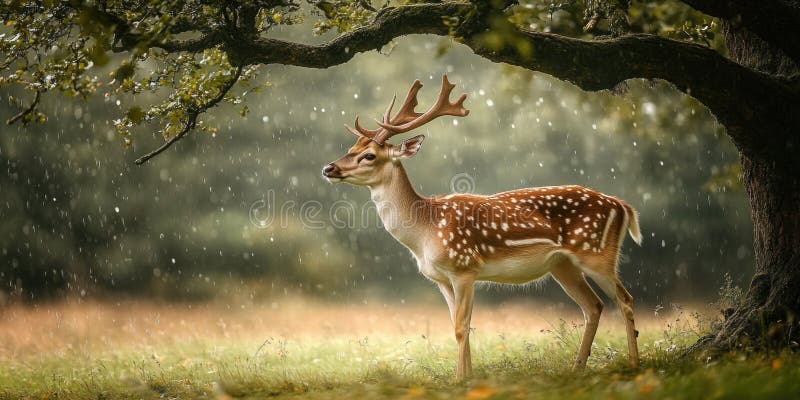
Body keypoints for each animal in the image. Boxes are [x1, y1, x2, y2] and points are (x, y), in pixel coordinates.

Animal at [322, 75, 642, 379]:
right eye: (351, 147)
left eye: (369, 155)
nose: (328, 168)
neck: (424, 232)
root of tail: (622, 206)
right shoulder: (441, 278)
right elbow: (458, 324)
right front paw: (468, 377)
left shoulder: (464, 267)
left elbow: (461, 327)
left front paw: (460, 380)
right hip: (562, 265)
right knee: (593, 306)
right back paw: (577, 368)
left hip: (596, 253)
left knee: (625, 299)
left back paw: (634, 365)